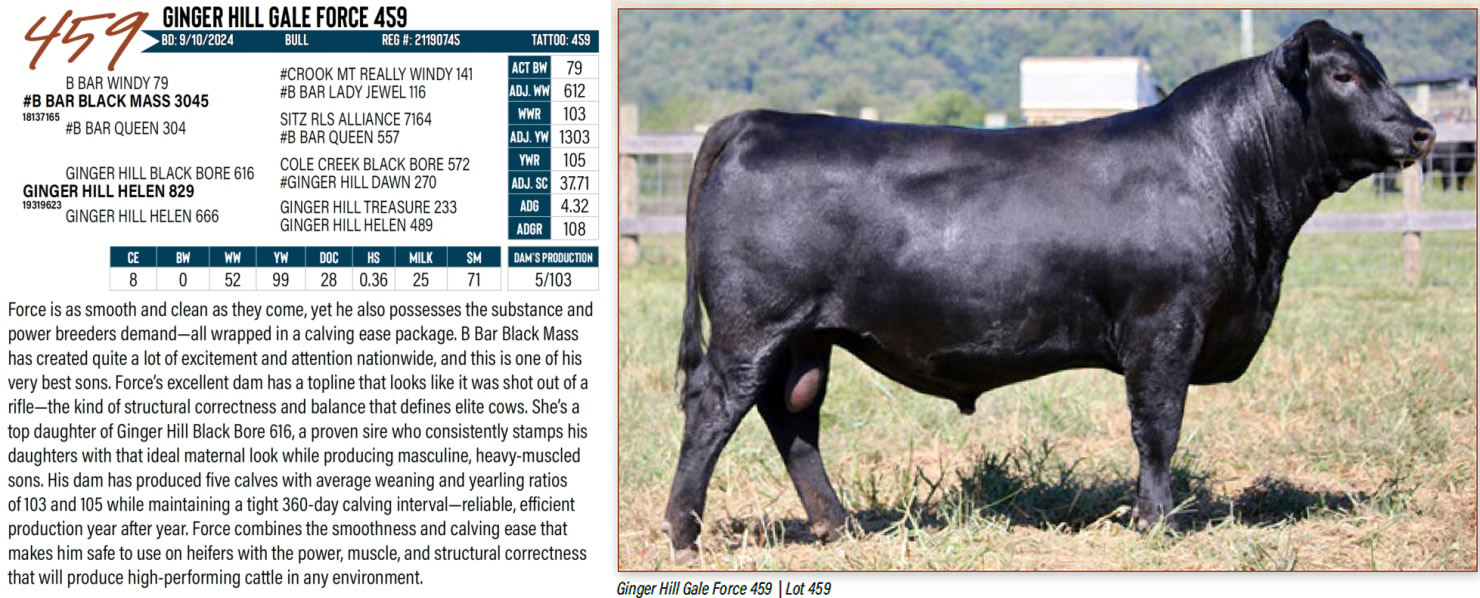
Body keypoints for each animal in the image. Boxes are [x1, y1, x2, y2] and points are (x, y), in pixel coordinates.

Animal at [662, 20, 1433, 558]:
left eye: (1380, 71)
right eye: (1342, 74)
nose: (1422, 131)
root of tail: (762, 119)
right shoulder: (1163, 326)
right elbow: (1158, 428)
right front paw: (1153, 521)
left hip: (805, 337)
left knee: (792, 416)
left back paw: (837, 526)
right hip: (753, 329)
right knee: (714, 408)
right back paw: (683, 532)